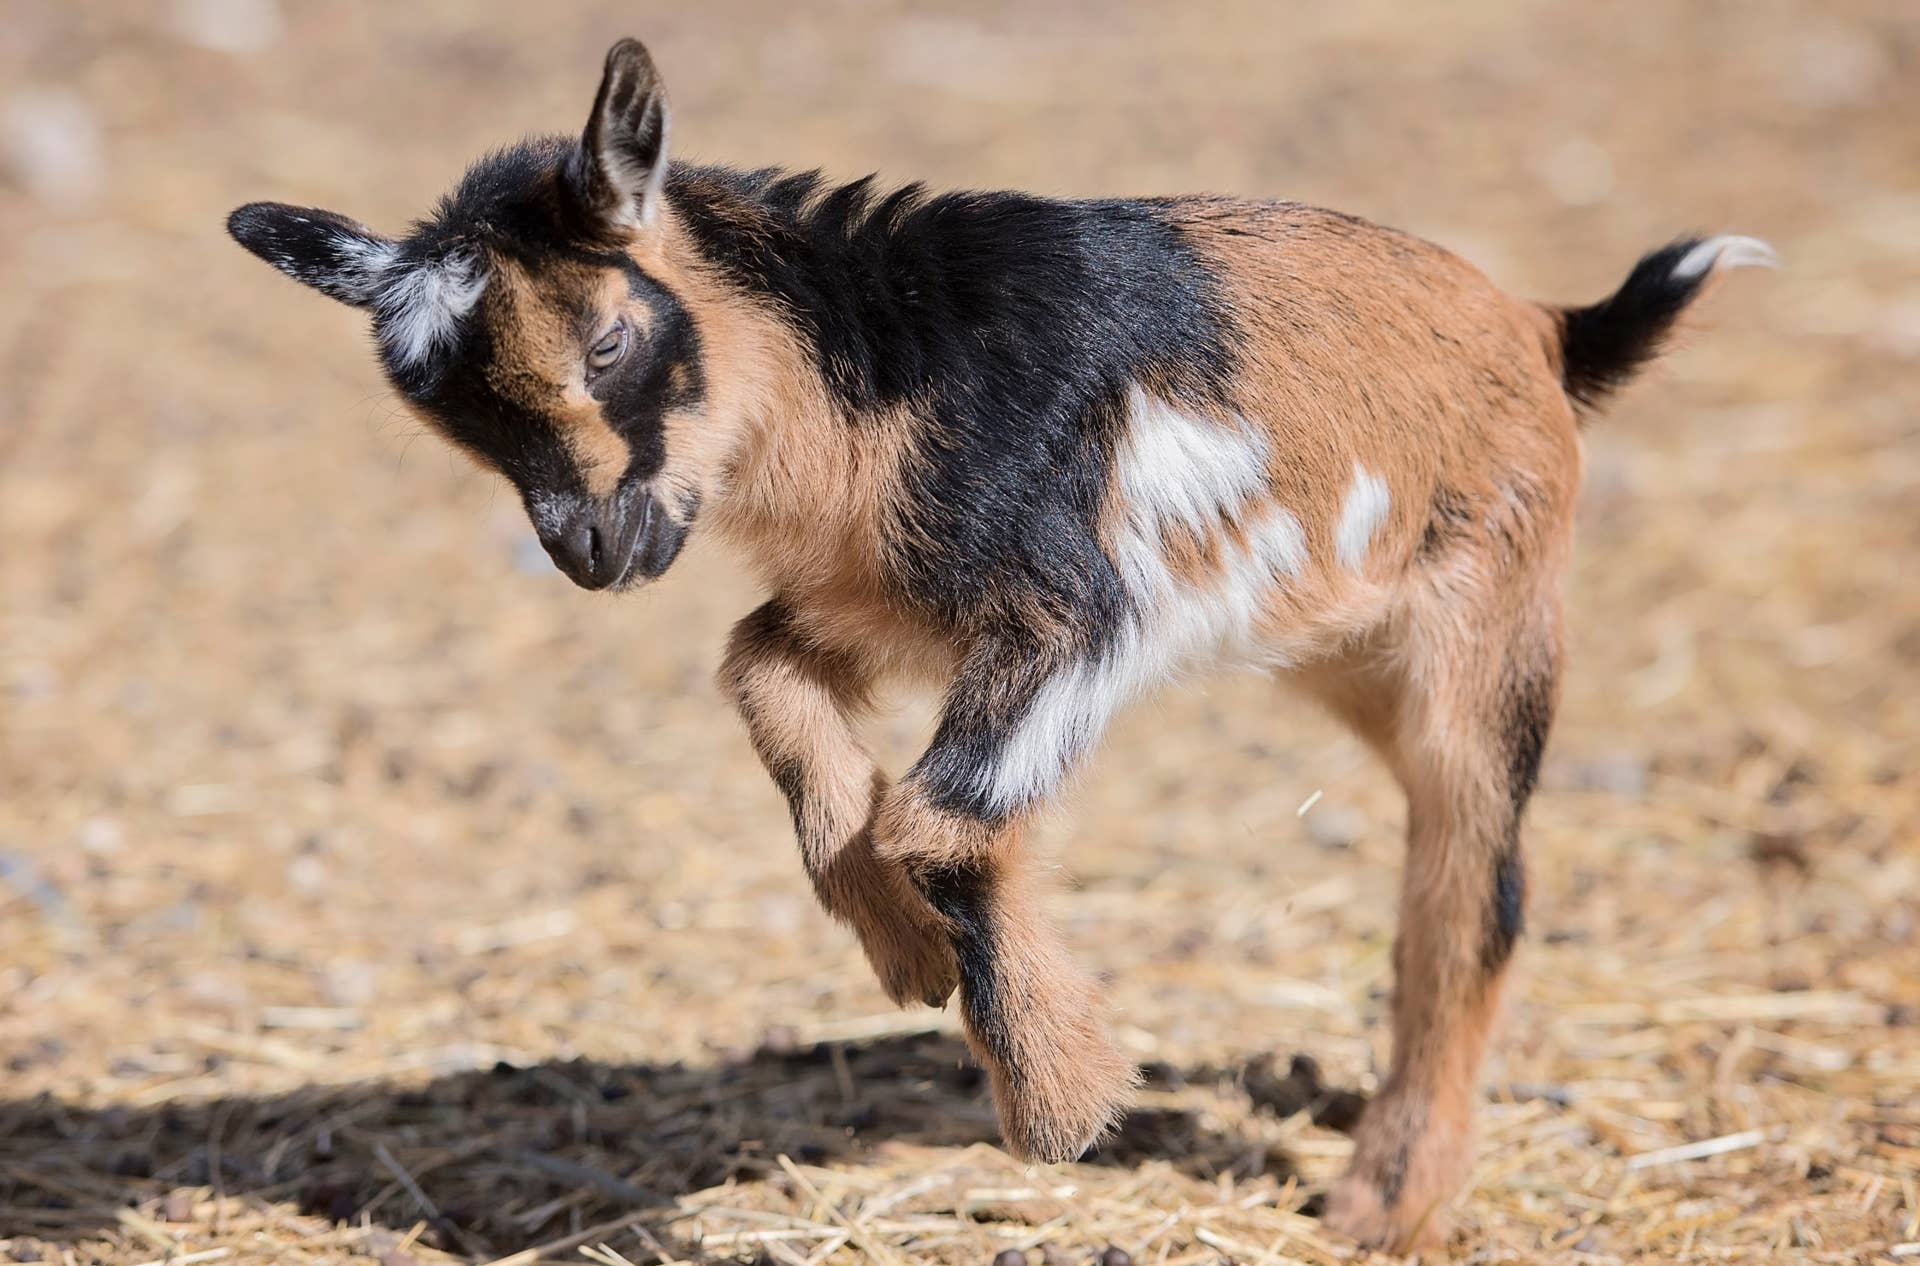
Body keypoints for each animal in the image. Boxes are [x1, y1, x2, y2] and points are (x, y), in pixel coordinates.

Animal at [227, 38, 1772, 1251]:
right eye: (454, 419)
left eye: (606, 343)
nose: (590, 552)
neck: (882, 364)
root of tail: (1549, 332)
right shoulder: (879, 604)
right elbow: (761, 675)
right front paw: (905, 954)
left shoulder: (1078, 615)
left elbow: (944, 818)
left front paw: (1061, 1096)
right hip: (1350, 651)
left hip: (1487, 629)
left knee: (1475, 880)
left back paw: (1383, 1203)